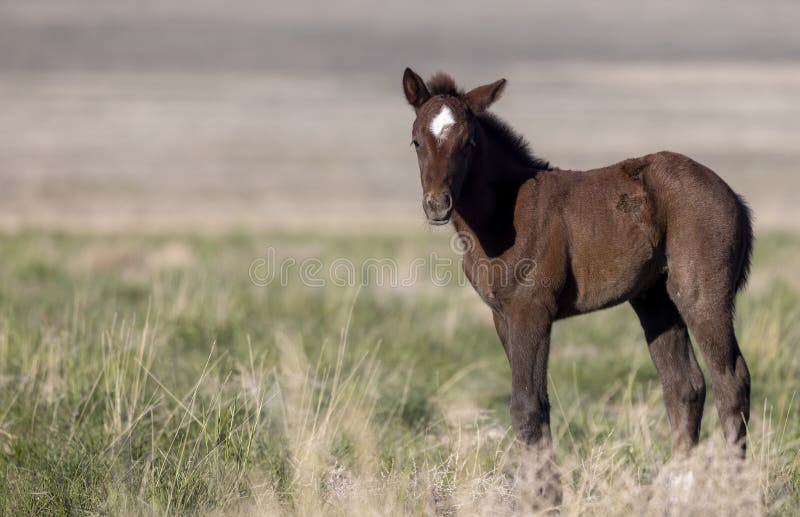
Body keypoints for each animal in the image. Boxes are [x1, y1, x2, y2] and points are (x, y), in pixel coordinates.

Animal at [402, 67, 753, 507]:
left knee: (731, 381)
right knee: (684, 387)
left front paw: (542, 500)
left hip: (702, 294)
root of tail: (731, 194)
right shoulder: (502, 316)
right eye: (416, 140)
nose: (437, 204)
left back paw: (732, 490)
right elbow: (533, 405)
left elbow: (527, 406)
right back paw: (674, 494)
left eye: (469, 143)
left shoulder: (531, 311)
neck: (505, 211)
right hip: (655, 300)